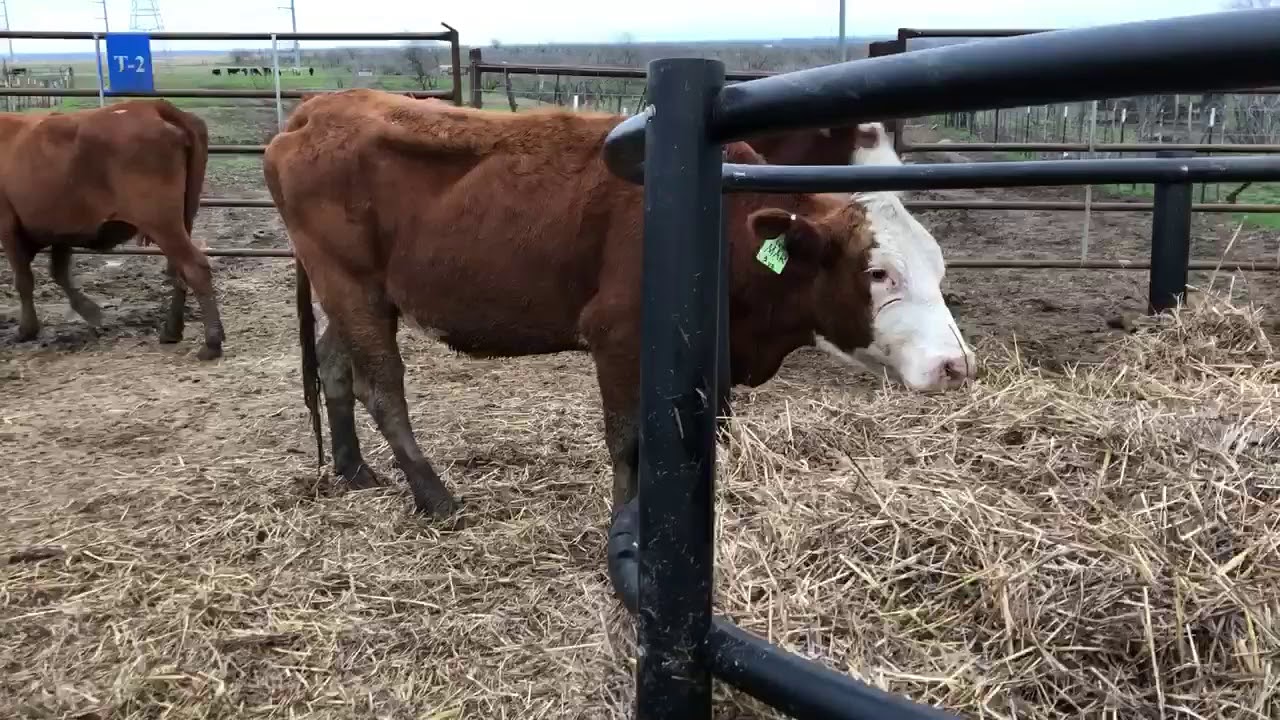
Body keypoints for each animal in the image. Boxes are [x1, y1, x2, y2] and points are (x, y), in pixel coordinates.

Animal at [0, 100, 225, 360]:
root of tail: (151, 106)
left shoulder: (8, 225)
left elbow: (24, 280)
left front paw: (27, 330)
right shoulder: (62, 228)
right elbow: (59, 272)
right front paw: (90, 311)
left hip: (161, 221)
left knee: (194, 267)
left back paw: (211, 343)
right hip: (182, 219)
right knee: (179, 271)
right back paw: (172, 331)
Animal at [263, 89, 974, 518]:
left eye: (938, 269)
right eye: (878, 273)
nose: (956, 365)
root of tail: (317, 110)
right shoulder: (617, 336)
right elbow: (630, 440)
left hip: (357, 294)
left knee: (336, 368)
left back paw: (354, 470)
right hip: (351, 286)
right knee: (382, 385)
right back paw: (435, 496)